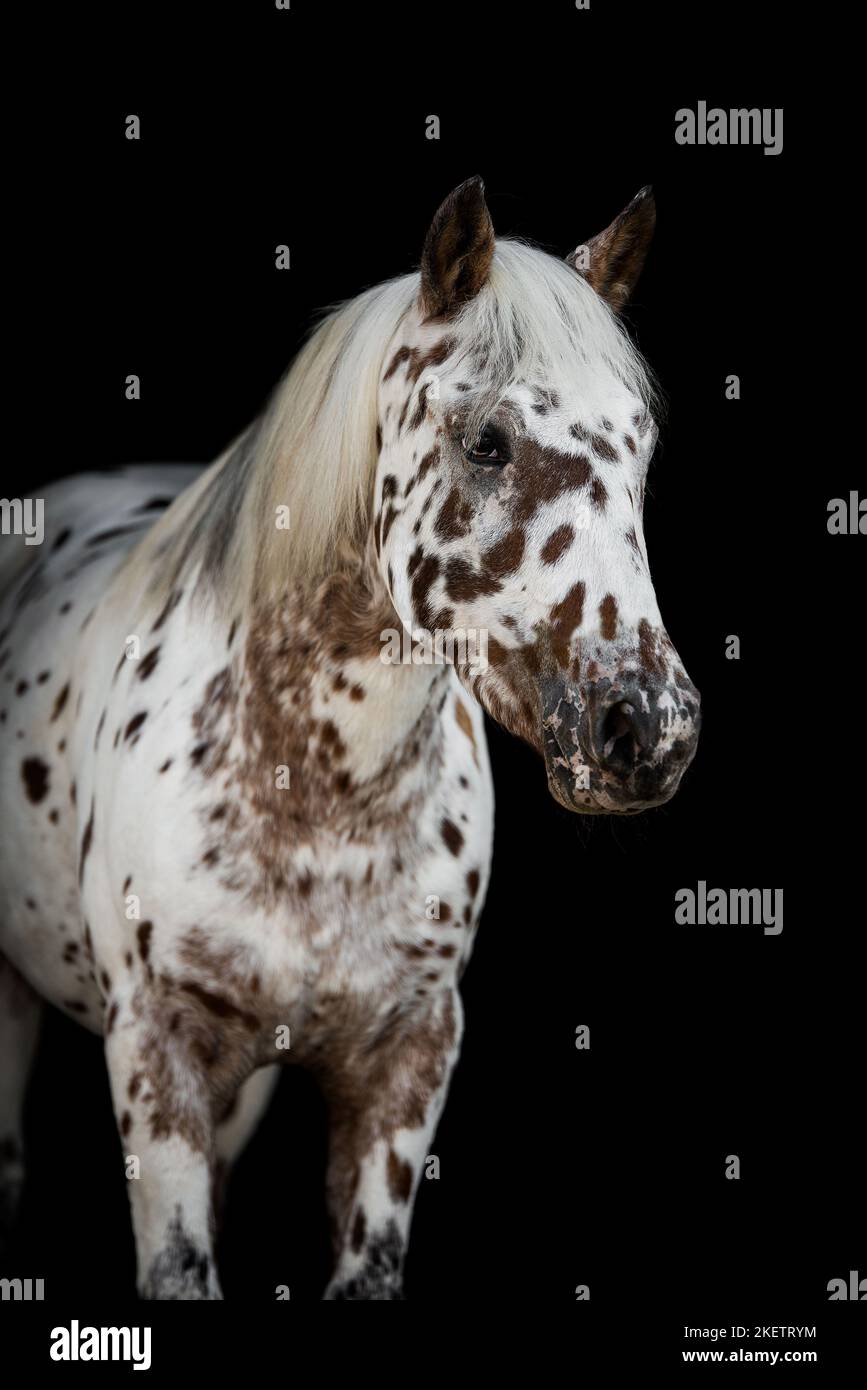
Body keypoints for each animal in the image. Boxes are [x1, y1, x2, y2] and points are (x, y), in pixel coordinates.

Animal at [0, 178, 700, 1299]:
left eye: (638, 446)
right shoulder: (156, 1056)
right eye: (487, 441)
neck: (316, 795)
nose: (650, 725)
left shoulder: (405, 1064)